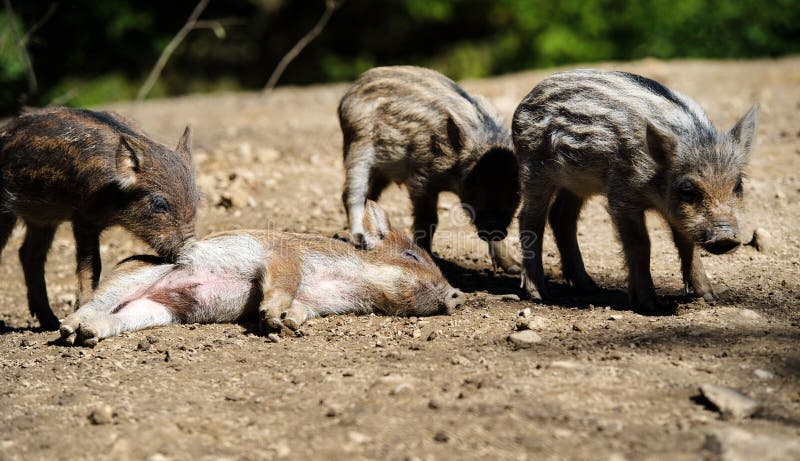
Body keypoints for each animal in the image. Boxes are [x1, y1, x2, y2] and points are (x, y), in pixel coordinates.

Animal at [0, 107, 198, 329]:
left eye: (197, 199)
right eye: (159, 204)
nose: (191, 247)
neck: (112, 194)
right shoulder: (83, 218)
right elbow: (92, 264)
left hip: (43, 218)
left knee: (29, 255)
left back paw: (50, 322)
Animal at [59, 201, 466, 346]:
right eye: (411, 255)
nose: (458, 294)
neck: (347, 281)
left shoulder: (314, 304)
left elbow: (298, 310)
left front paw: (289, 326)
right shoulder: (286, 259)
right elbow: (282, 285)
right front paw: (271, 318)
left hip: (156, 312)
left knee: (114, 320)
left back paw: (88, 335)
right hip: (131, 278)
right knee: (92, 304)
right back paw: (68, 329)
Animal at [339, 66, 521, 274]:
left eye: (516, 189)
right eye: (473, 182)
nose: (493, 226)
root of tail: (349, 92)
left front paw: (515, 268)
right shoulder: (421, 178)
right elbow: (428, 220)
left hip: (381, 172)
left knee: (369, 196)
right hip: (358, 148)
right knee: (352, 195)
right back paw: (360, 239)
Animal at [512, 70, 757, 313]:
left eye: (738, 186)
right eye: (688, 189)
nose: (725, 236)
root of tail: (528, 97)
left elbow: (686, 243)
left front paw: (710, 297)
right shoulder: (622, 197)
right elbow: (641, 244)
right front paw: (651, 305)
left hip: (576, 182)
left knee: (561, 217)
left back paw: (590, 287)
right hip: (534, 169)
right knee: (530, 219)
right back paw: (539, 293)